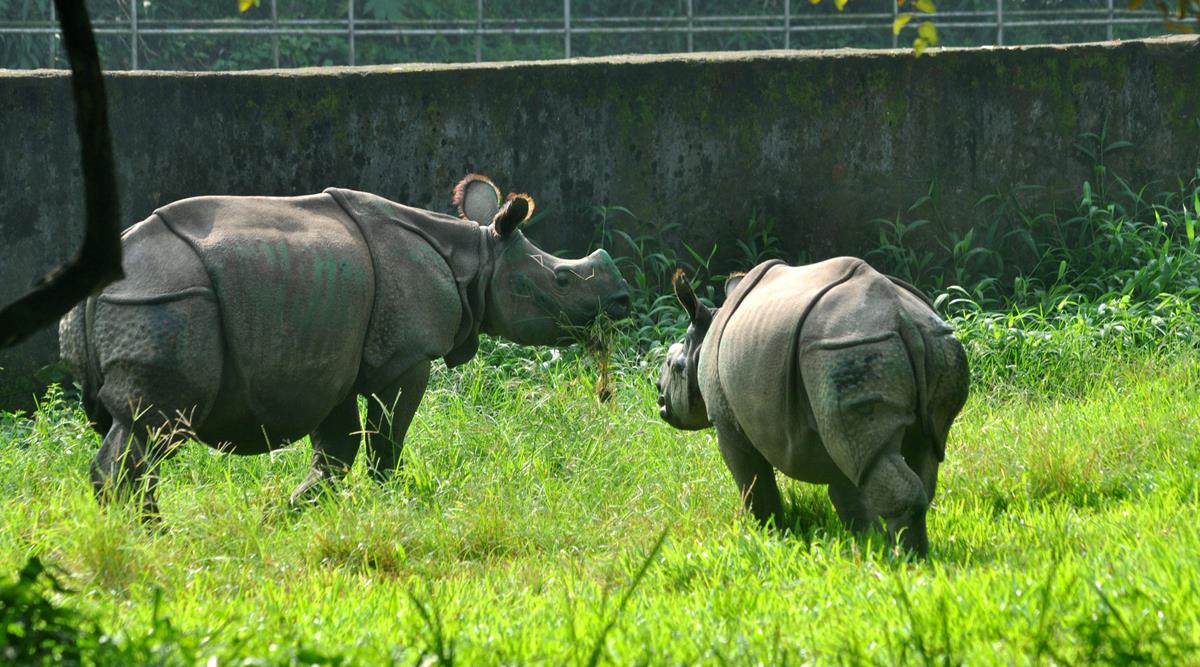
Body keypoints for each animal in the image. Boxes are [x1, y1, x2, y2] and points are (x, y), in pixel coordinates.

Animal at [59, 174, 630, 516]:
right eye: (562, 279)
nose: (622, 301)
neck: (477, 257)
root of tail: (97, 291)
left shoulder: (332, 359)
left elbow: (336, 452)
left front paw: (289, 513)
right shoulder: (405, 357)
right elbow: (385, 441)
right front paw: (390, 503)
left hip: (147, 303)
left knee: (137, 430)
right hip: (165, 302)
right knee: (154, 425)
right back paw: (153, 536)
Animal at [656, 258, 968, 556]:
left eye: (674, 367)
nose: (660, 400)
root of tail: (901, 316)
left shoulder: (727, 422)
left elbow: (752, 482)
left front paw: (764, 534)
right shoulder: (824, 415)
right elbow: (848, 492)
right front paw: (867, 544)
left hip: (847, 349)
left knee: (877, 458)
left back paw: (907, 560)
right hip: (923, 344)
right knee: (921, 450)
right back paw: (906, 554)